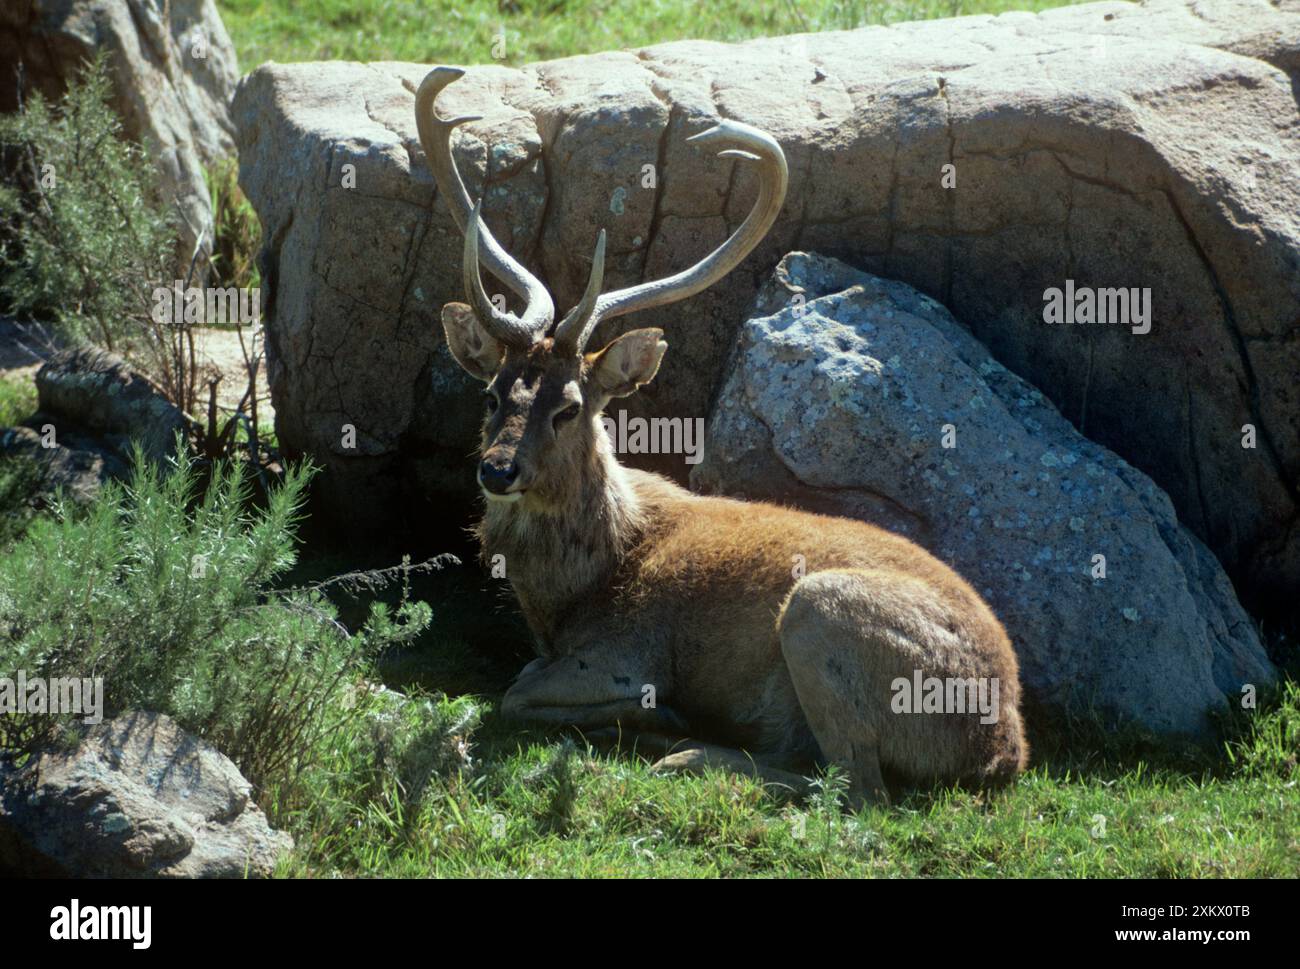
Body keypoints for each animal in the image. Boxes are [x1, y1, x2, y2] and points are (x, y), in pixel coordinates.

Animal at [413, 66, 1028, 807]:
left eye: (569, 407)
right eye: (492, 393)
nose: (498, 470)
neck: (571, 593)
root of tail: (1007, 748)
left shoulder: (627, 655)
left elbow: (517, 690)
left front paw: (654, 716)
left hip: (821, 611)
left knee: (857, 789)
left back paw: (686, 749)